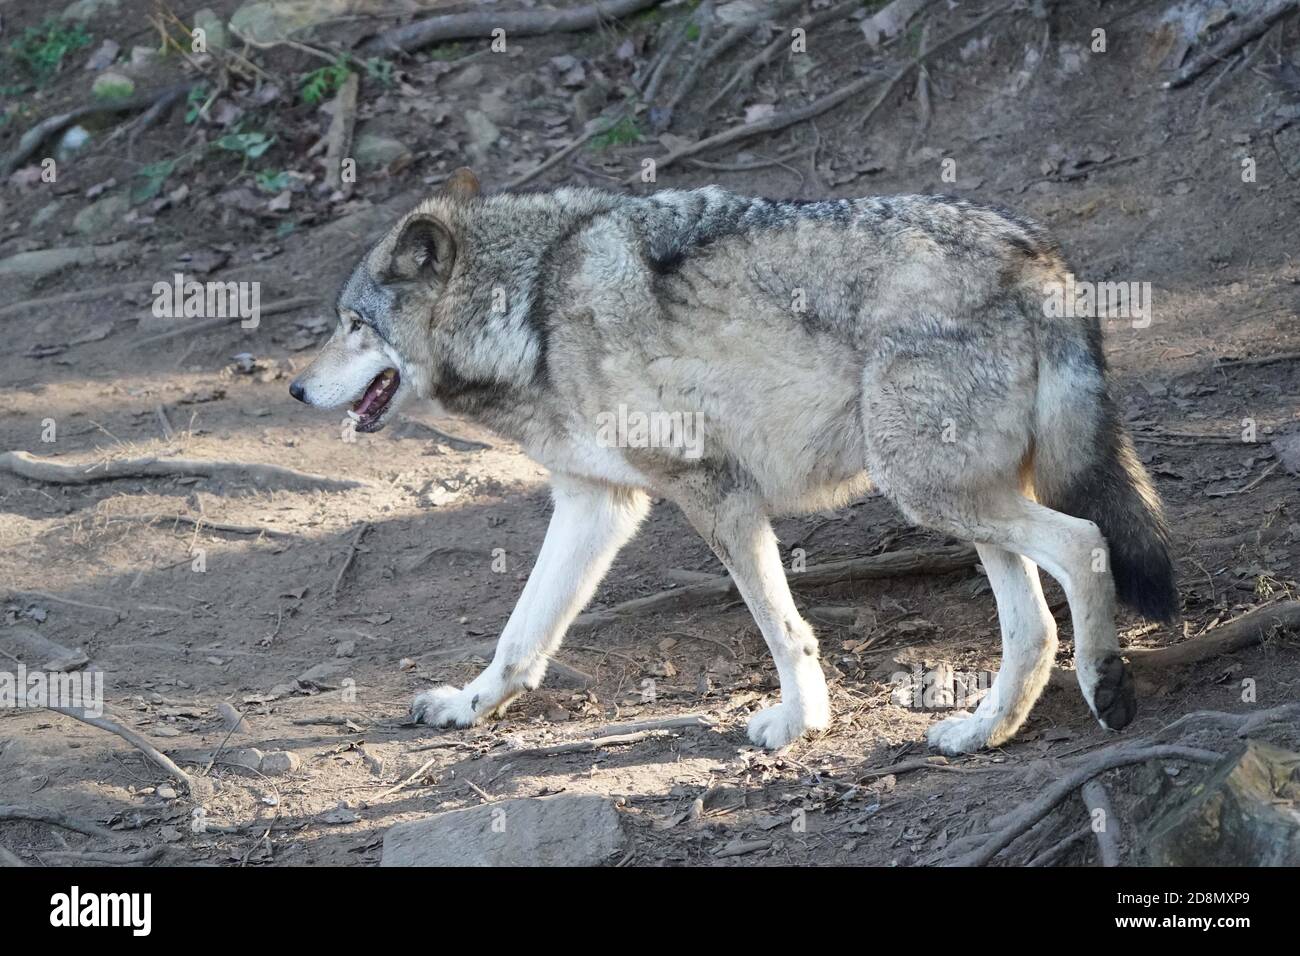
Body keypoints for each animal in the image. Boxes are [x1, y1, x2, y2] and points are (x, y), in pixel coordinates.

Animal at [289, 168, 1177, 753]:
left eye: (354, 325)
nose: (296, 389)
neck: (533, 306)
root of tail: (1037, 254)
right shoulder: (595, 504)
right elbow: (520, 635)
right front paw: (468, 708)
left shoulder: (714, 493)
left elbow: (781, 627)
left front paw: (798, 722)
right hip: (952, 496)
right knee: (1032, 626)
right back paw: (984, 731)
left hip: (928, 489)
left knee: (1085, 544)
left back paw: (1107, 686)